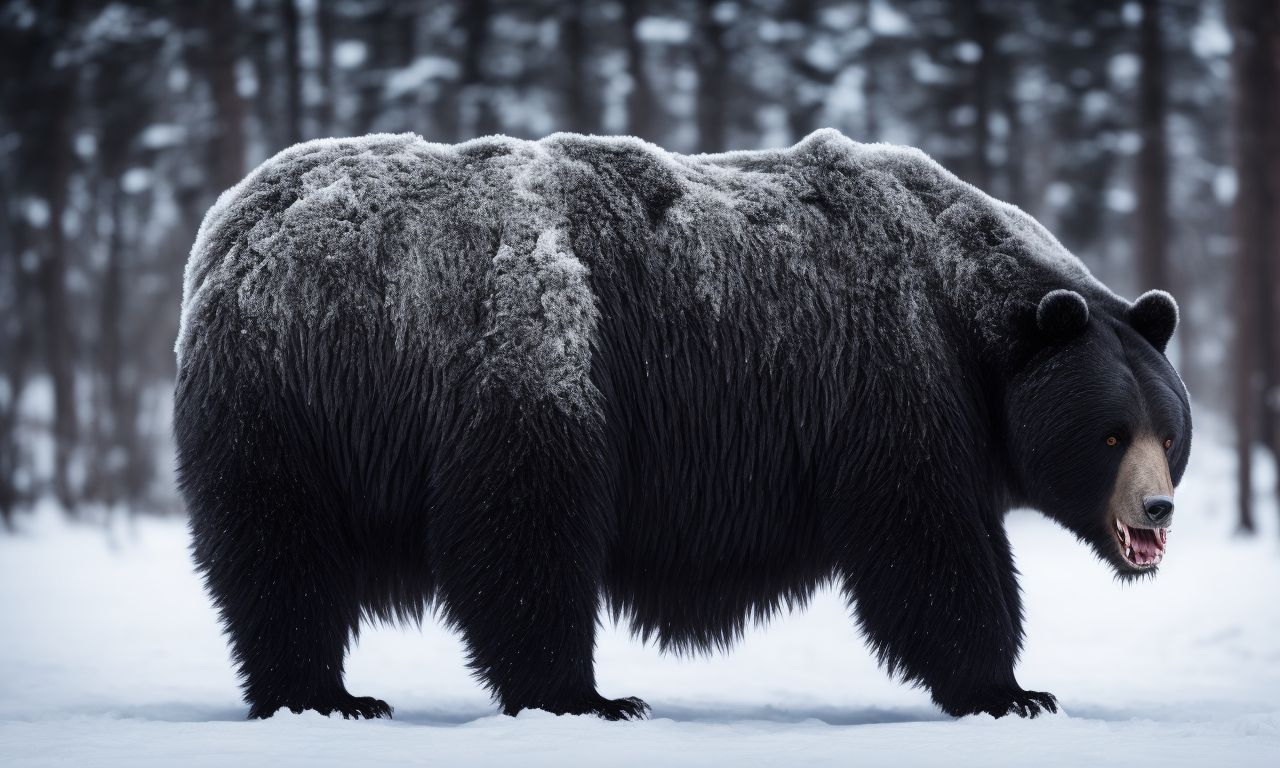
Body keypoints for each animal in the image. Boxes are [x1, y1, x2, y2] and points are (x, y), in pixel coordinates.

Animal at [174, 129, 1191, 722]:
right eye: (1109, 433)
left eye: (1168, 433)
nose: (1157, 511)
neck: (969, 317)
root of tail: (234, 225)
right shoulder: (890, 380)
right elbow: (930, 548)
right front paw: (1012, 689)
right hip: (473, 366)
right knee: (497, 533)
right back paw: (570, 695)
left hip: (300, 406)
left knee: (285, 560)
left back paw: (323, 690)